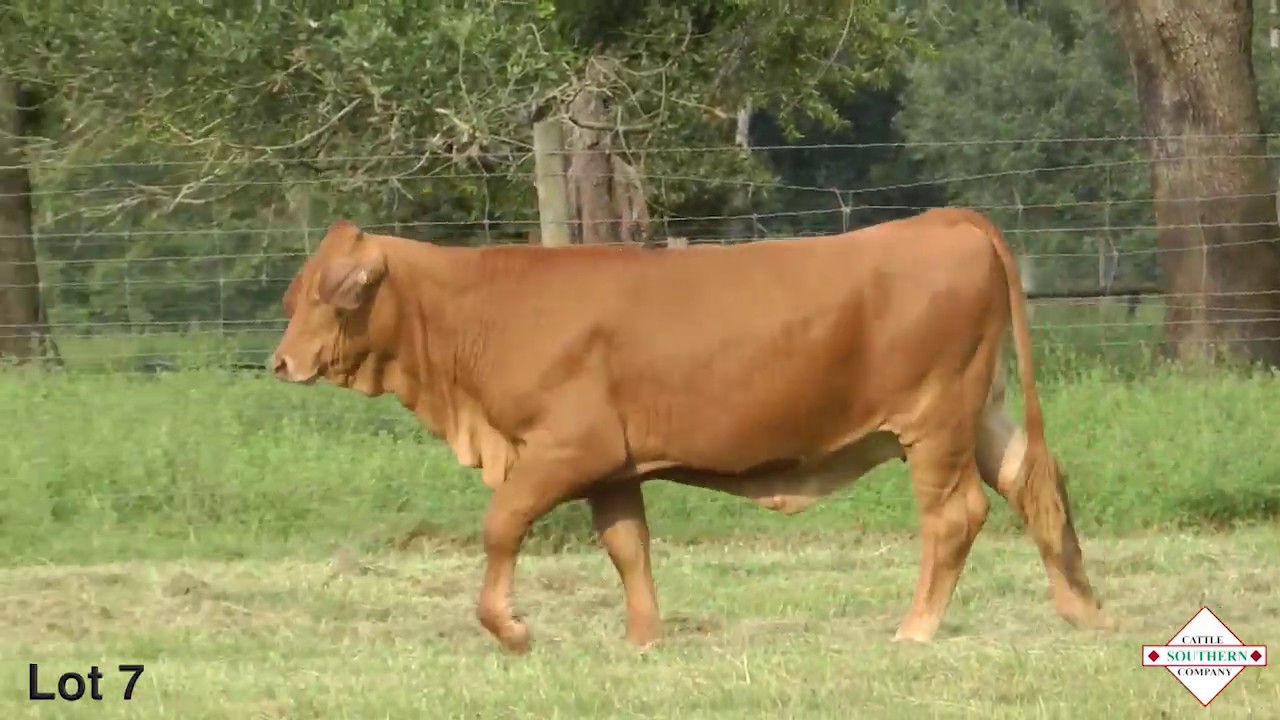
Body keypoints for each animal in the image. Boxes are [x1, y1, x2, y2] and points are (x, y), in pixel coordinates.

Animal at [268, 207, 1115, 654]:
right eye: (291, 294)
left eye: (326, 296)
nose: (280, 362)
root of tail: (944, 218)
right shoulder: (613, 468)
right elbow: (628, 548)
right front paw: (644, 639)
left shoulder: (565, 450)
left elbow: (500, 525)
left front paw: (510, 628)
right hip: (981, 414)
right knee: (1037, 488)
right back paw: (1082, 611)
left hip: (934, 422)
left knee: (956, 515)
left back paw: (915, 628)